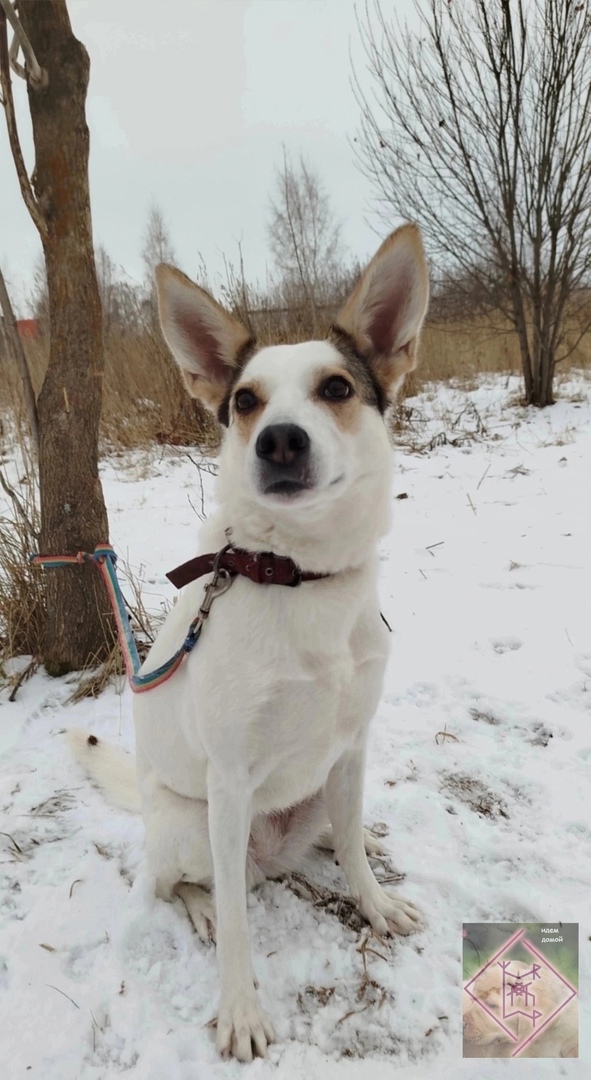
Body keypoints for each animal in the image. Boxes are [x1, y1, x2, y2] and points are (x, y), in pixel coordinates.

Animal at [70, 223, 430, 1058]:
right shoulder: (230, 782)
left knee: (336, 828)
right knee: (187, 884)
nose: (279, 442)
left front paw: (372, 898)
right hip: (190, 825)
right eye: (243, 400)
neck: (298, 576)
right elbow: (237, 923)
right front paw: (239, 1010)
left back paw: (350, 842)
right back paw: (202, 902)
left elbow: (353, 846)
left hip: (318, 787)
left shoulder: (352, 744)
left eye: (336, 388)